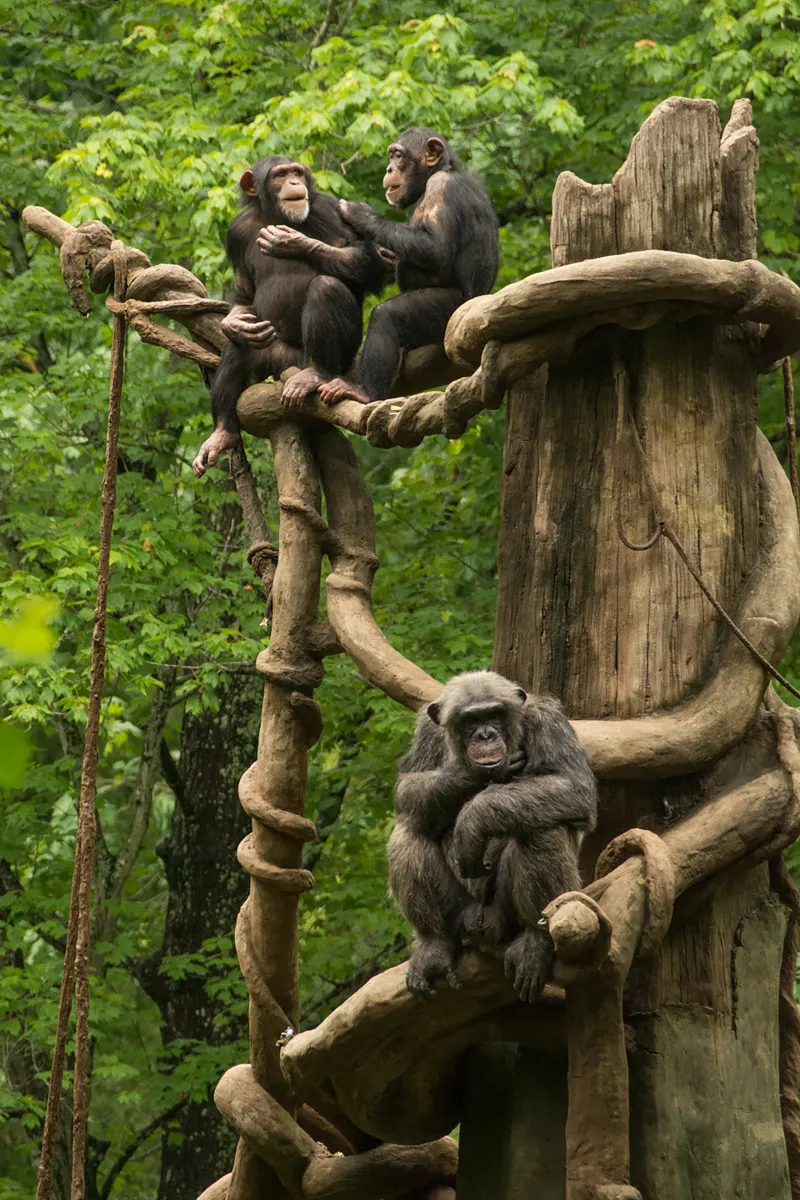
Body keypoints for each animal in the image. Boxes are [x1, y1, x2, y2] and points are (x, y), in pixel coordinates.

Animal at [387, 671, 597, 1003]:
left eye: (495, 714)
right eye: (470, 720)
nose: (485, 735)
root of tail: (481, 923)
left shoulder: (549, 721)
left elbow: (571, 785)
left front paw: (472, 821)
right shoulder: (426, 731)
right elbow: (408, 787)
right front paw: (468, 774)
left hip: (505, 916)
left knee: (540, 827)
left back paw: (535, 942)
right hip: (459, 914)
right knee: (410, 828)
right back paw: (433, 944)